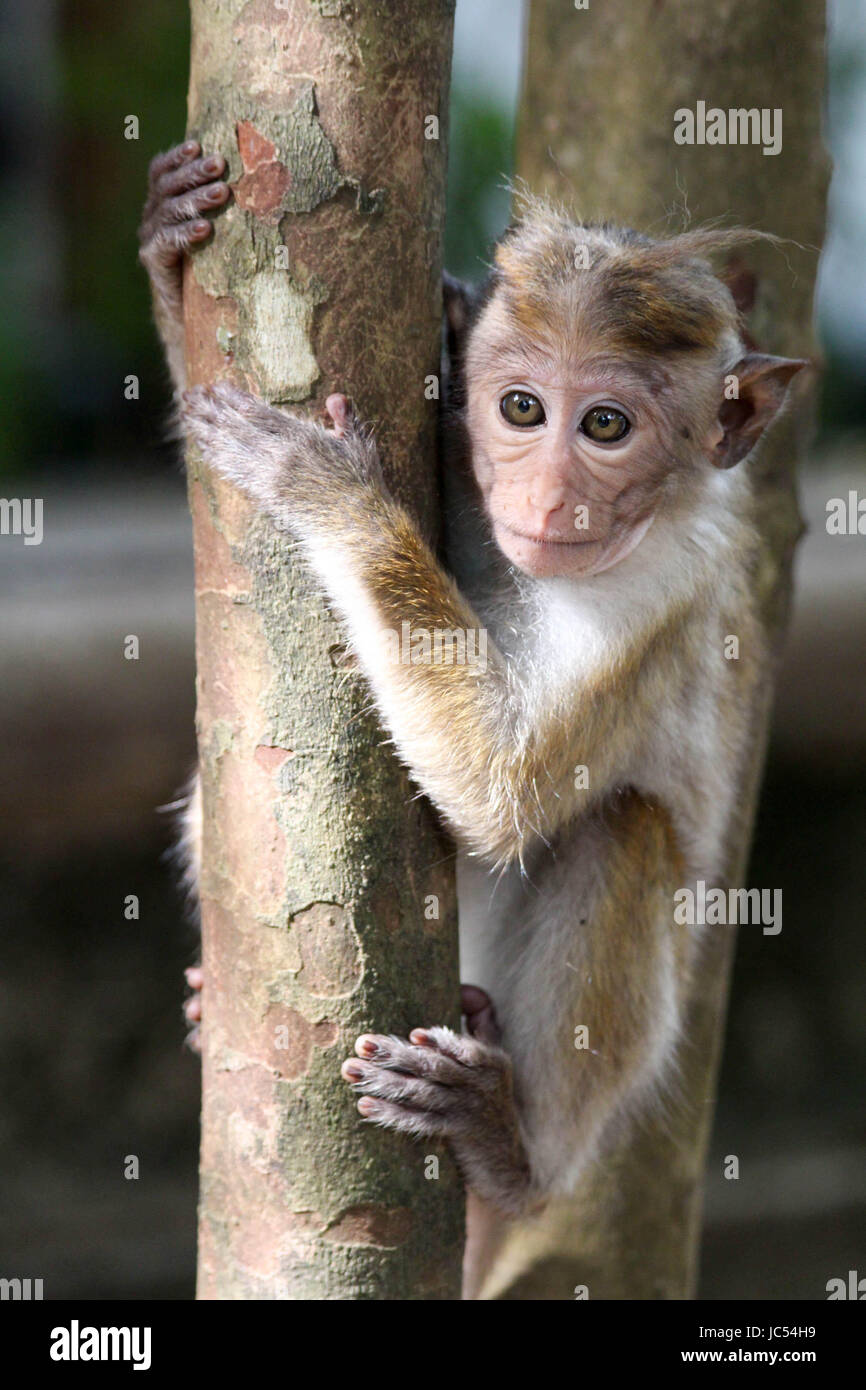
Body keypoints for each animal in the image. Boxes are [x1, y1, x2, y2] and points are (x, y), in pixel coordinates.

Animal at [140, 142, 805, 1294]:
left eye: (605, 426)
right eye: (522, 410)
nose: (543, 499)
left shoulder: (654, 588)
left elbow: (498, 789)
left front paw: (331, 490)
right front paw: (169, 250)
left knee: (620, 827)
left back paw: (509, 1148)